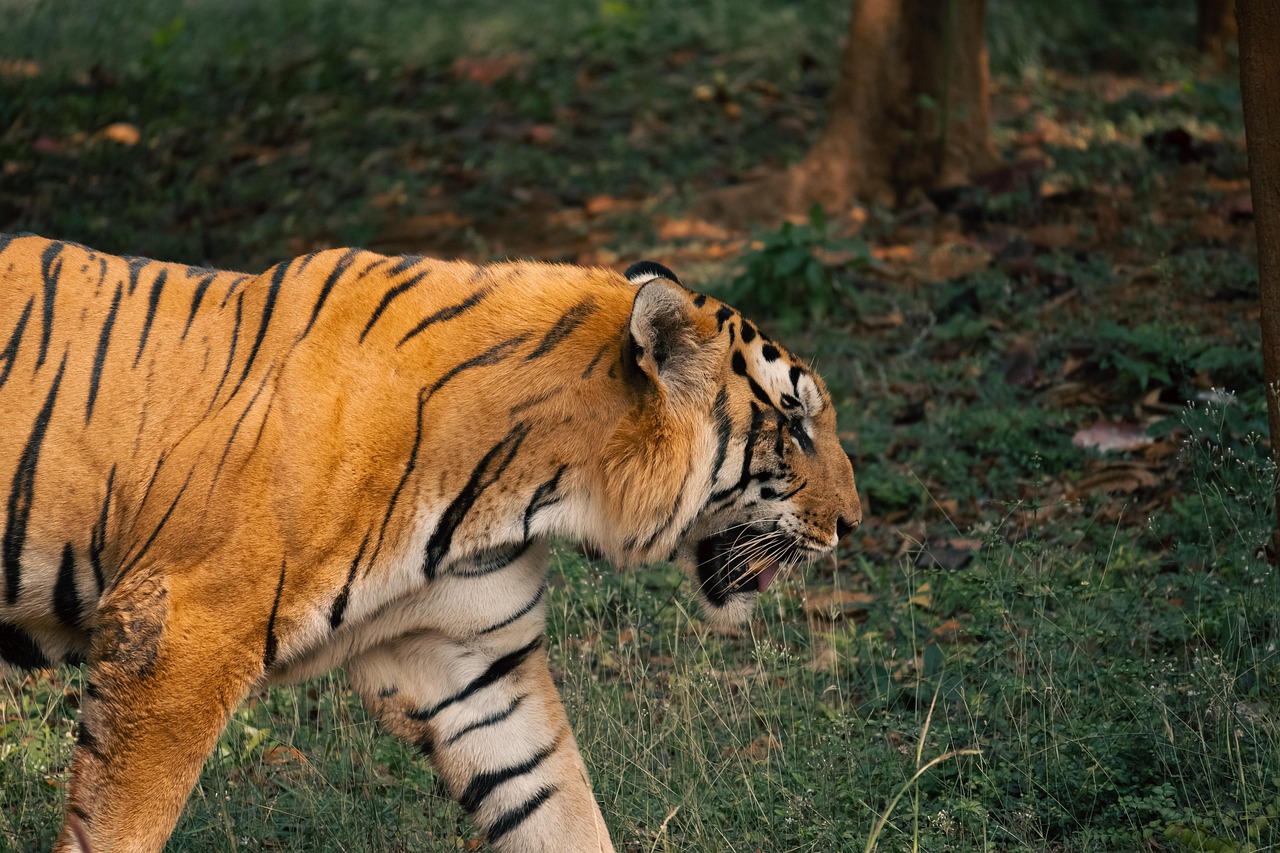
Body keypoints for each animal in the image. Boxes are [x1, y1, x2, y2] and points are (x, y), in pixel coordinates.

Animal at [0, 232, 860, 852]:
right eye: (794, 423)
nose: (854, 520)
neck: (538, 486)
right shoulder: (180, 632)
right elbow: (121, 824)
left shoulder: (469, 659)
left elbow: (556, 803)